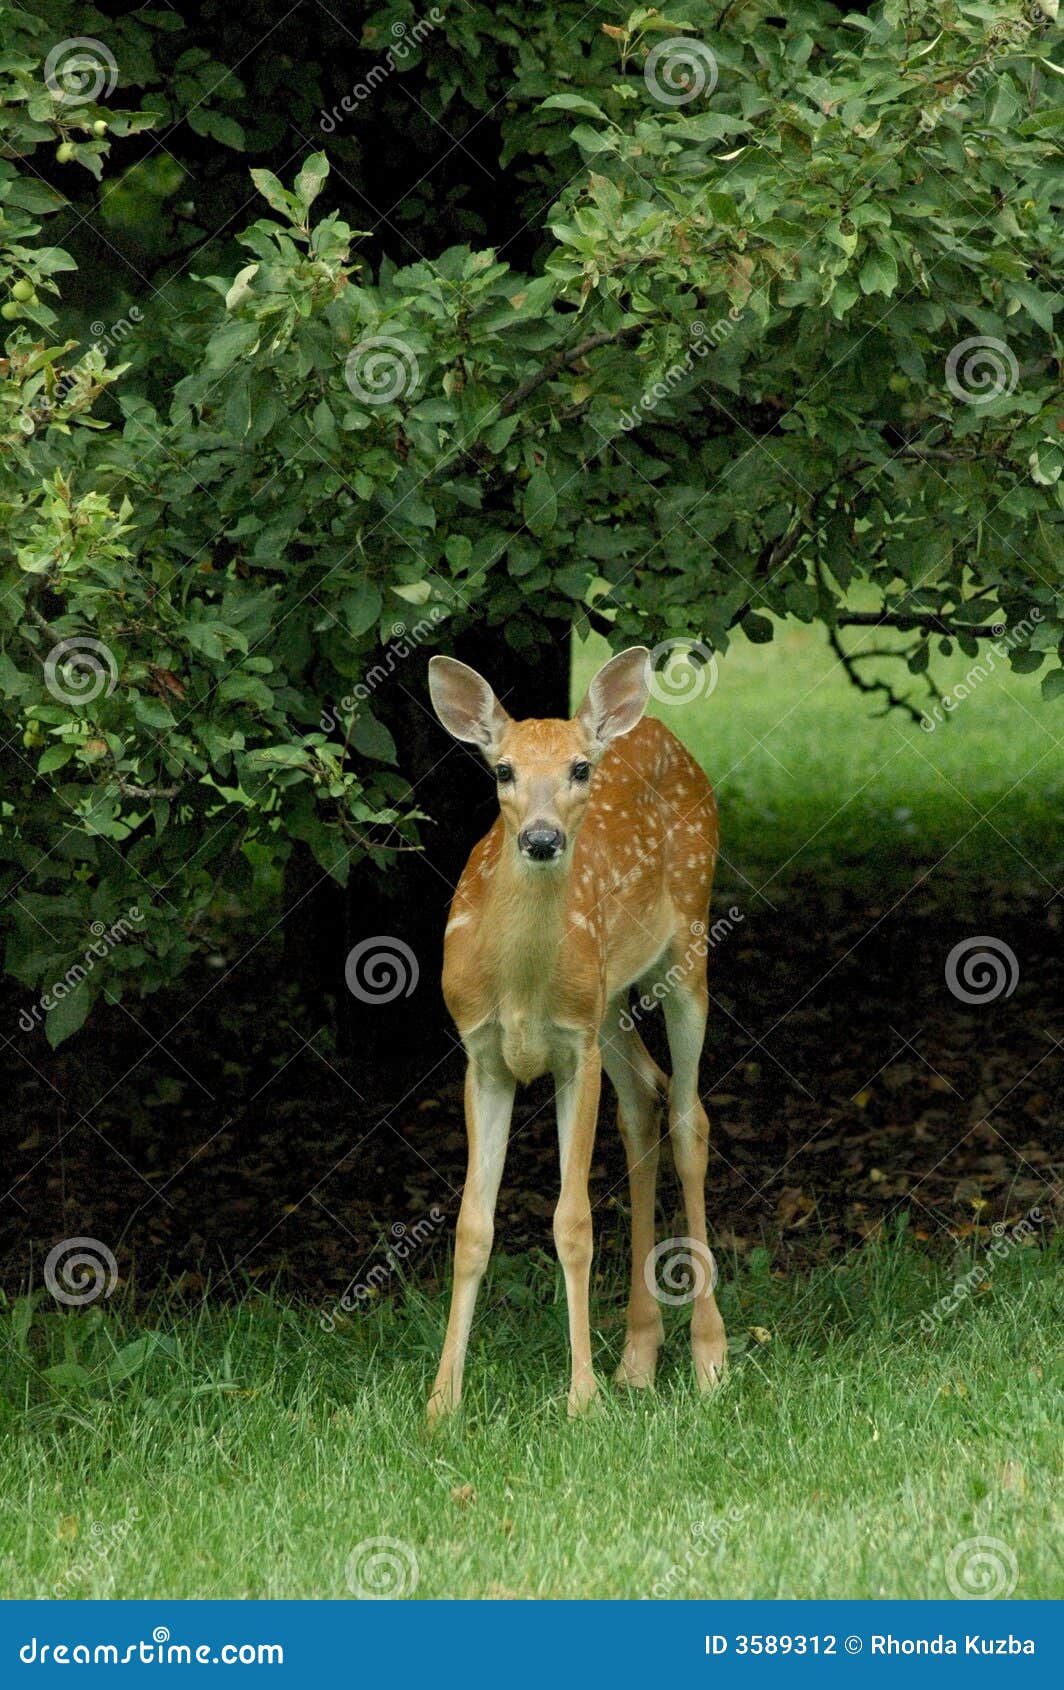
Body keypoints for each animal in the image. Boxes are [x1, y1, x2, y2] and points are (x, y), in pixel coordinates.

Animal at [425, 645, 727, 1420]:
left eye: (580, 769)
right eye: (502, 770)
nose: (540, 838)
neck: (521, 988)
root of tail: (658, 730)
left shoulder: (574, 1050)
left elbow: (573, 1222)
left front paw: (581, 1399)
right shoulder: (481, 1055)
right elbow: (472, 1225)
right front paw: (442, 1404)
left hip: (688, 947)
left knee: (689, 1119)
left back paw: (709, 1355)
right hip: (611, 999)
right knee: (643, 1103)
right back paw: (638, 1357)